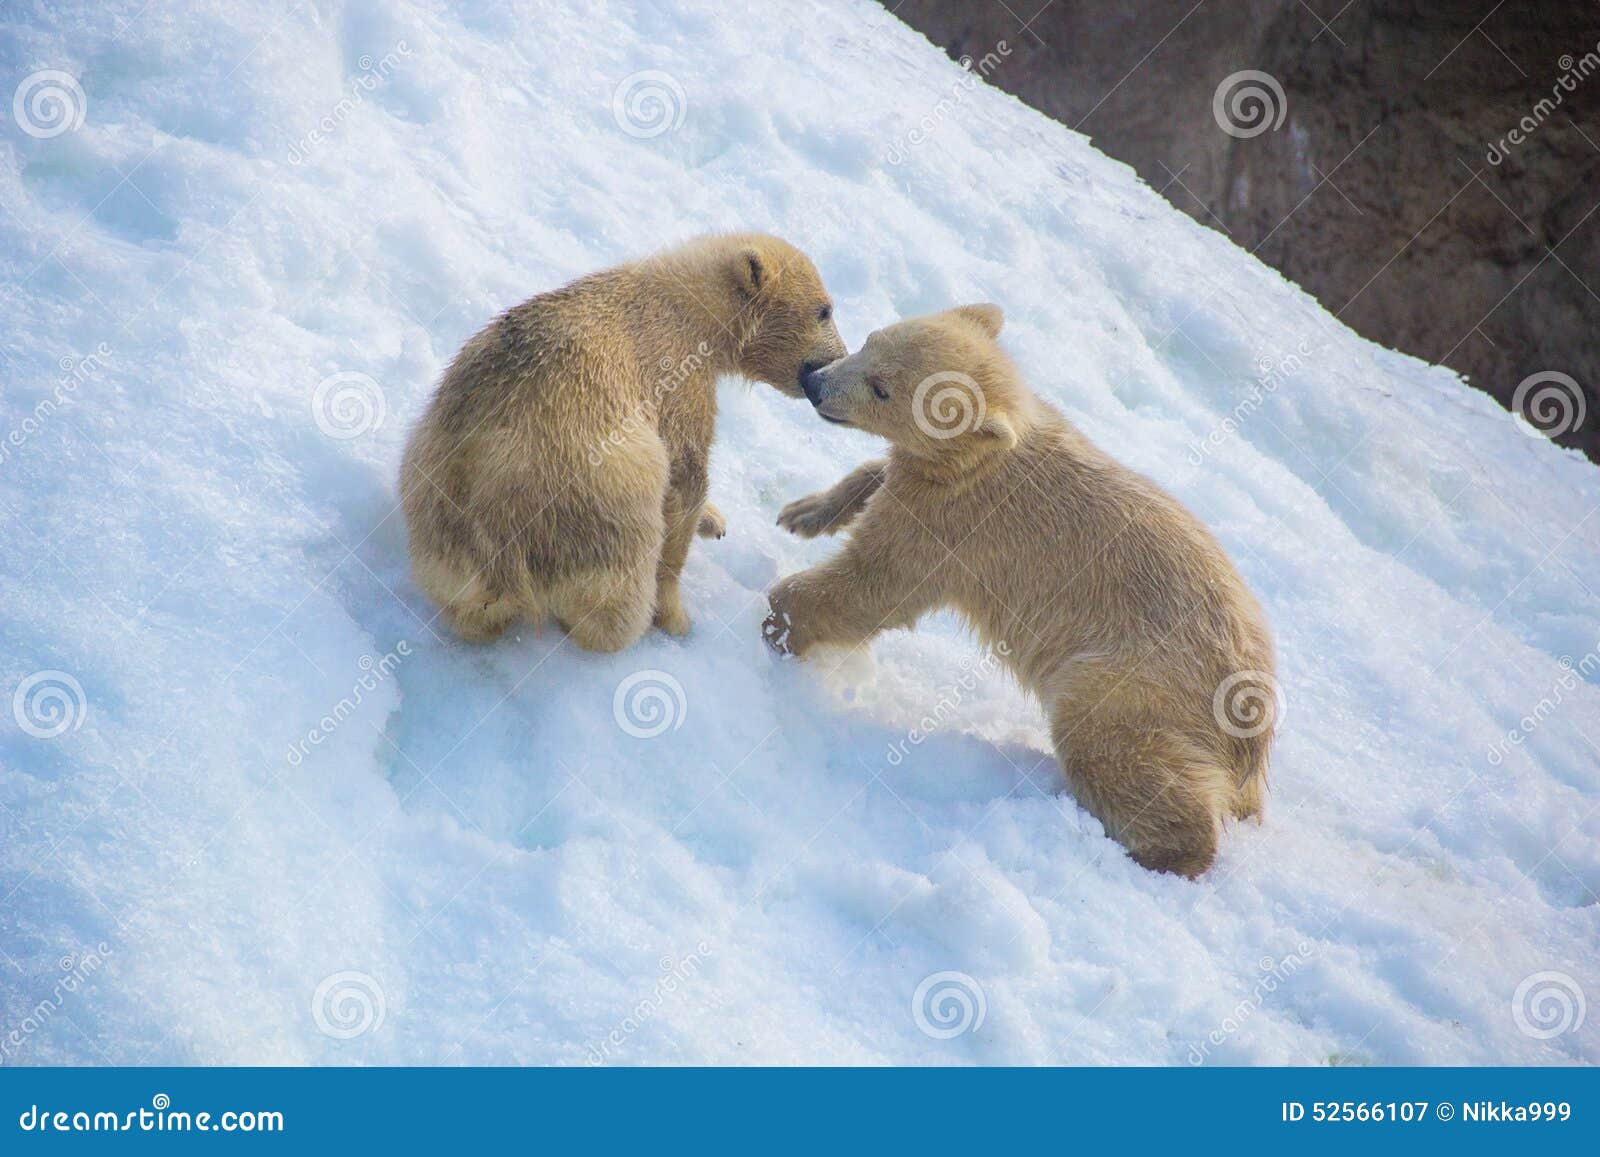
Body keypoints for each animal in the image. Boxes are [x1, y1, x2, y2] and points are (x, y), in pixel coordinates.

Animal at [400, 233, 845, 651]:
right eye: (824, 310)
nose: (838, 359)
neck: (687, 303)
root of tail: (496, 564)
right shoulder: (675, 371)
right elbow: (684, 477)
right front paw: (676, 614)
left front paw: (714, 520)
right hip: (600, 499)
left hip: (426, 475)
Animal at [764, 305, 1276, 877]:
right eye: (872, 341)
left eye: (882, 389)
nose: (815, 382)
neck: (987, 454)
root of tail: (1254, 737)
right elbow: (881, 480)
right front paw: (807, 511)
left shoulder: (956, 523)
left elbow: (874, 585)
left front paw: (777, 622)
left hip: (1135, 681)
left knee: (1110, 745)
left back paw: (1143, 845)